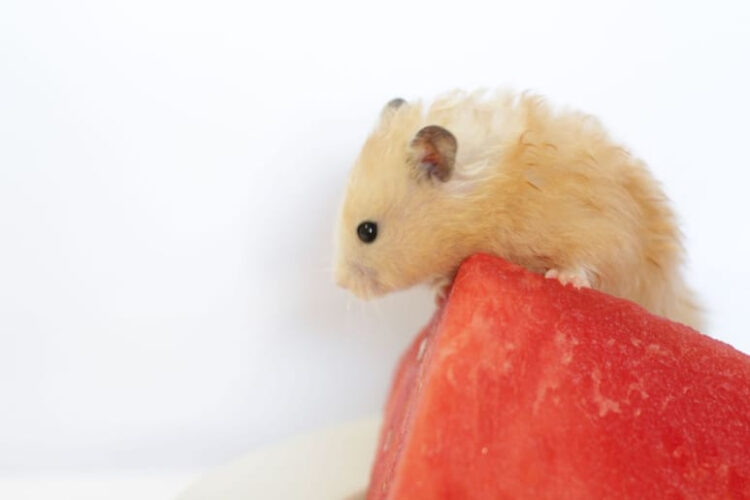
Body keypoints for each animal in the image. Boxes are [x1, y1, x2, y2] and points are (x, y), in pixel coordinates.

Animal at [334, 91, 703, 330]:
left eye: (367, 231)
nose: (342, 285)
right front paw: (441, 293)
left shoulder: (601, 230)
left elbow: (587, 259)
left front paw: (563, 279)